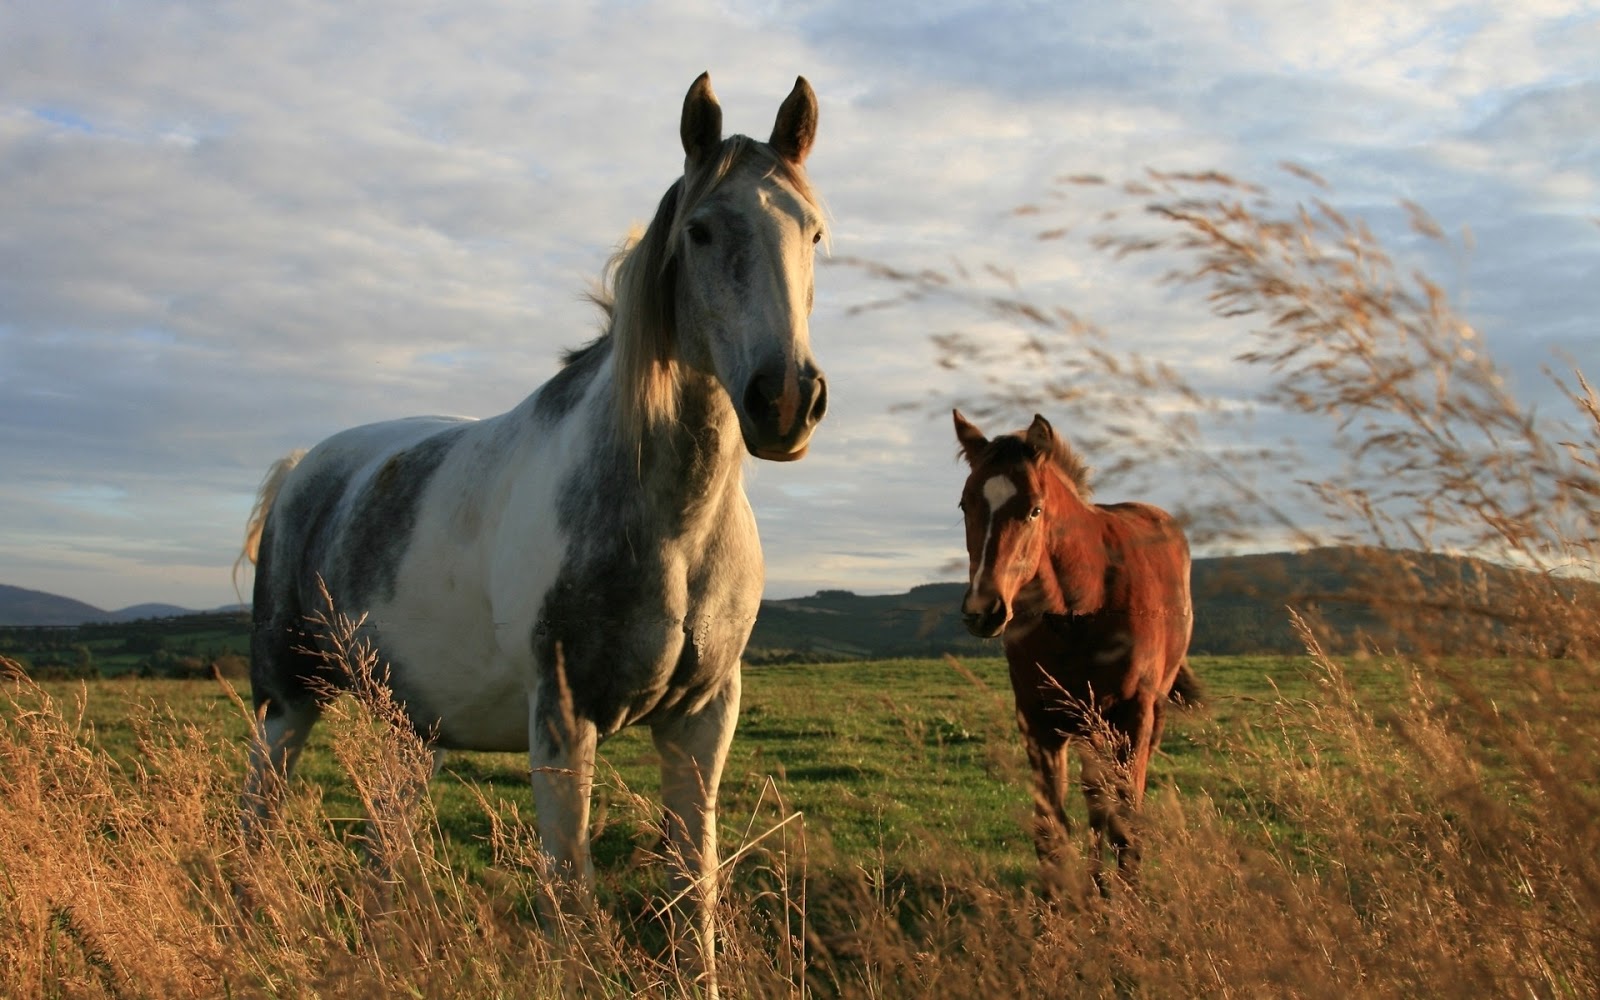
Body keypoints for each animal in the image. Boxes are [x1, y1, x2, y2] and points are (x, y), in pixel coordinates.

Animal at [237, 72, 828, 992]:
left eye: (815, 233)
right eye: (700, 230)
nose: (786, 401)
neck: (672, 527)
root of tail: (306, 466)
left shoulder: (703, 719)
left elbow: (690, 891)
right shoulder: (561, 718)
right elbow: (569, 897)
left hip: (413, 730)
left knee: (384, 843)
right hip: (286, 701)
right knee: (256, 822)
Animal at [952, 410, 1199, 894]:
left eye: (1035, 509)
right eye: (965, 505)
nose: (983, 611)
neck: (1082, 606)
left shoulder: (1132, 715)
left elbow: (1126, 820)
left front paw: (1126, 899)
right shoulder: (1038, 720)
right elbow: (1051, 828)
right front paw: (1059, 902)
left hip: (1143, 715)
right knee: (1095, 796)